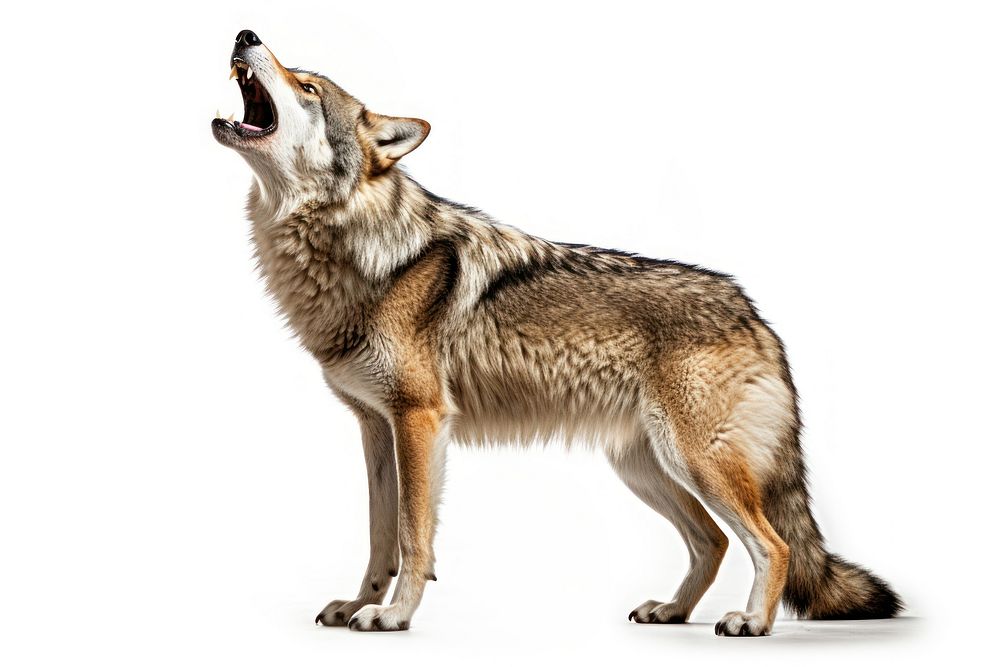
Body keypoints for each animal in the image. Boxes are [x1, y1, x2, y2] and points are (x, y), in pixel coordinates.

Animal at [212, 30, 901, 636]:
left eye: (305, 85)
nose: (245, 33)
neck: (358, 250)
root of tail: (755, 312)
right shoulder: (376, 428)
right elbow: (381, 536)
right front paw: (360, 604)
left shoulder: (420, 419)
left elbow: (413, 536)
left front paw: (393, 616)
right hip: (644, 468)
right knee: (712, 542)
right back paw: (672, 612)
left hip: (692, 462)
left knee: (772, 544)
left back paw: (751, 622)